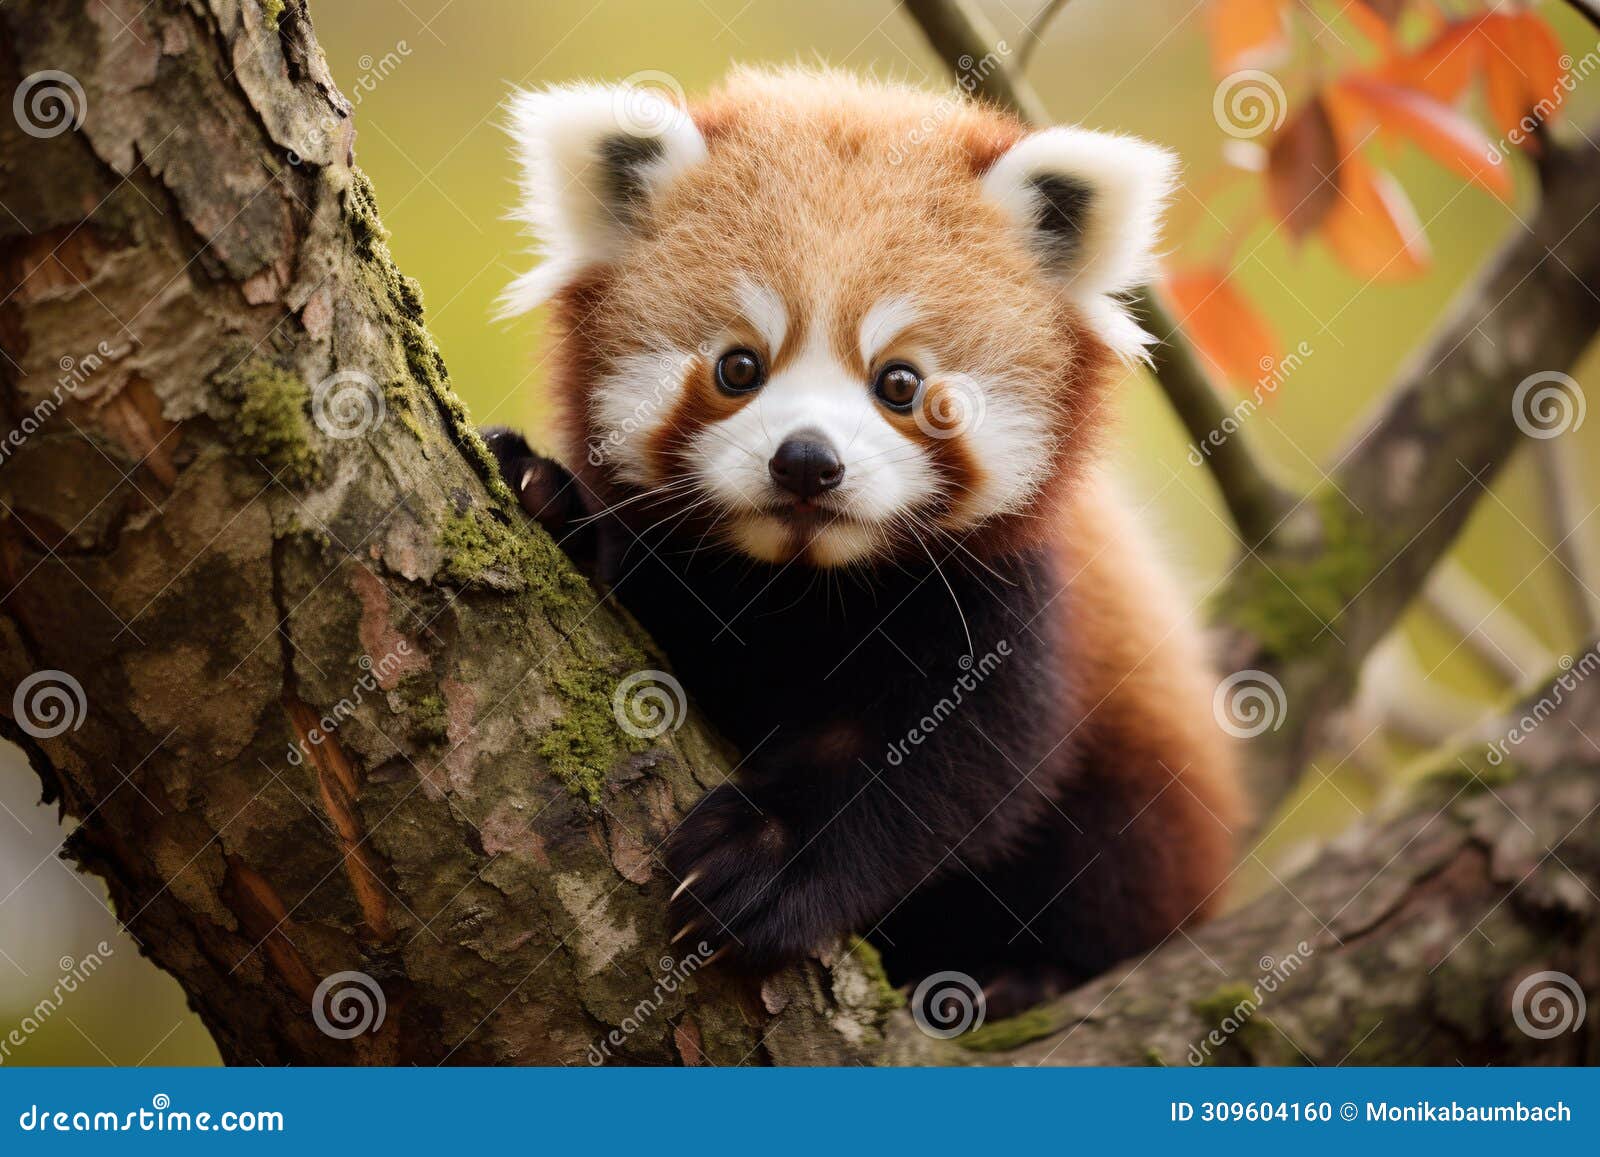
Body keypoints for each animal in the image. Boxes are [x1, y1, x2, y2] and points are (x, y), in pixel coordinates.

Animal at [483, 66, 1245, 1017]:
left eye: (900, 383)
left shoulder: (1011, 599)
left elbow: (955, 765)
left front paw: (768, 862)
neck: (803, 583)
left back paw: (1024, 977)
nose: (808, 462)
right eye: (739, 367)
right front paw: (549, 498)